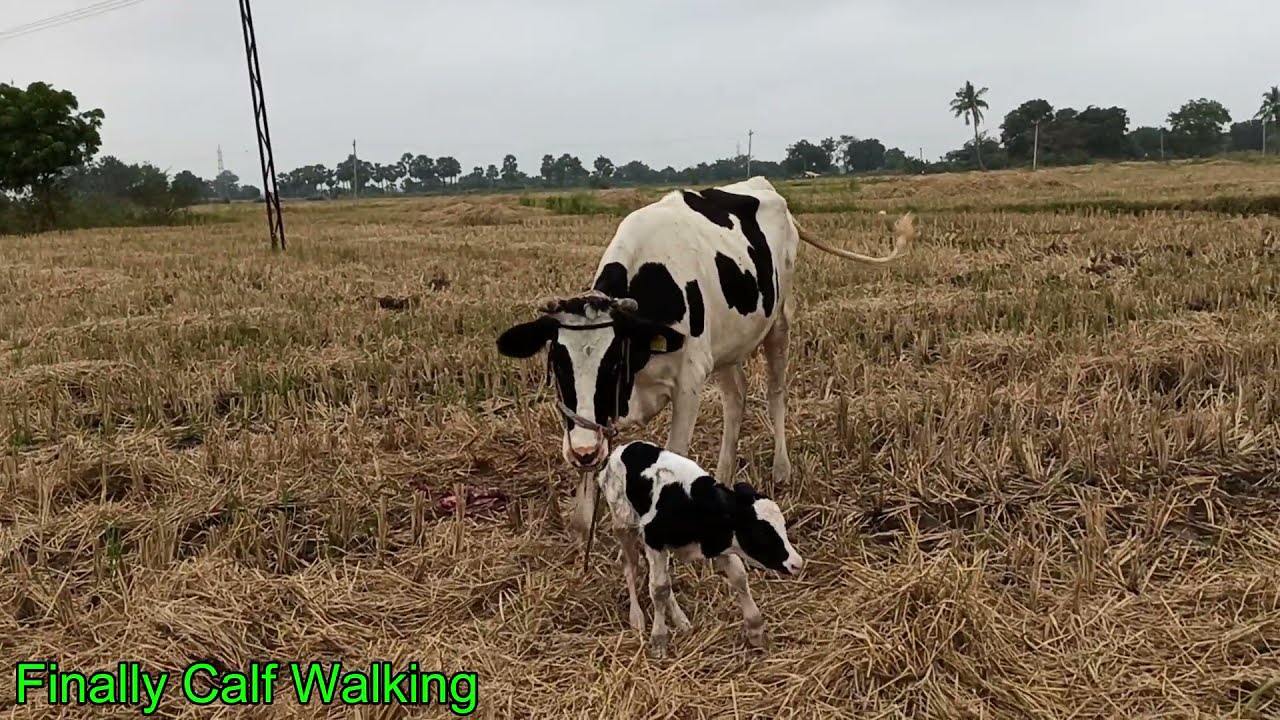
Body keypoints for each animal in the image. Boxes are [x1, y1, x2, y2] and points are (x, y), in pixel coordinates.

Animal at [495, 175, 914, 537]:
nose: (581, 450)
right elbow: (591, 480)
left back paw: (781, 469)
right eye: (557, 363)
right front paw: (583, 527)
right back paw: (724, 475)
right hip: (726, 348)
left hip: (779, 322)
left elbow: (673, 454)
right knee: (736, 396)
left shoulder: (689, 382)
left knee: (775, 392)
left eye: (614, 361)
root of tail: (764, 187)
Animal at [594, 440, 804, 657]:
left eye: (783, 527)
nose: (797, 563)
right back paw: (636, 617)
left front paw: (756, 630)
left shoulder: (719, 544)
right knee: (631, 567)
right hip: (623, 524)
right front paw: (659, 640)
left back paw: (680, 620)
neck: (693, 504)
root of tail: (622, 449)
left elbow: (738, 577)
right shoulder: (655, 542)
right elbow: (659, 588)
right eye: (762, 533)